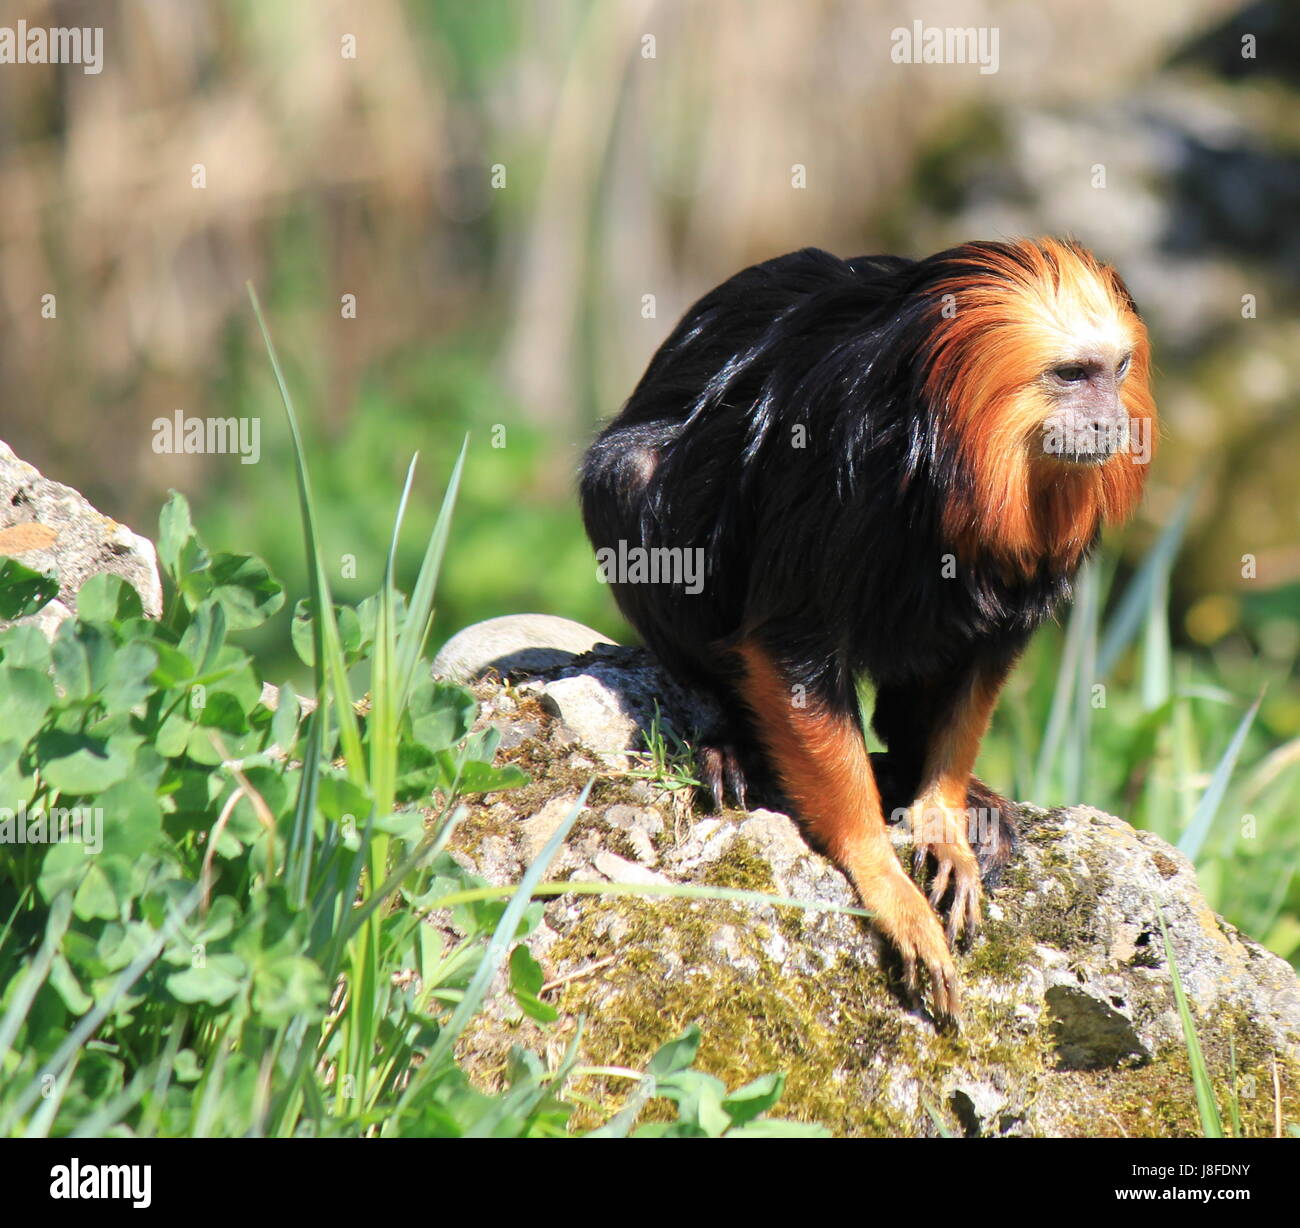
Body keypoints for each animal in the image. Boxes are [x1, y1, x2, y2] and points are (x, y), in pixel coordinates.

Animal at [579, 238, 1156, 1020]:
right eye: (1070, 375)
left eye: (1115, 370)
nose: (1109, 420)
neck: (945, 443)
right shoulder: (833, 463)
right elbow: (790, 648)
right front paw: (881, 875)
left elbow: (983, 658)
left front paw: (944, 818)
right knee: (629, 475)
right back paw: (735, 742)